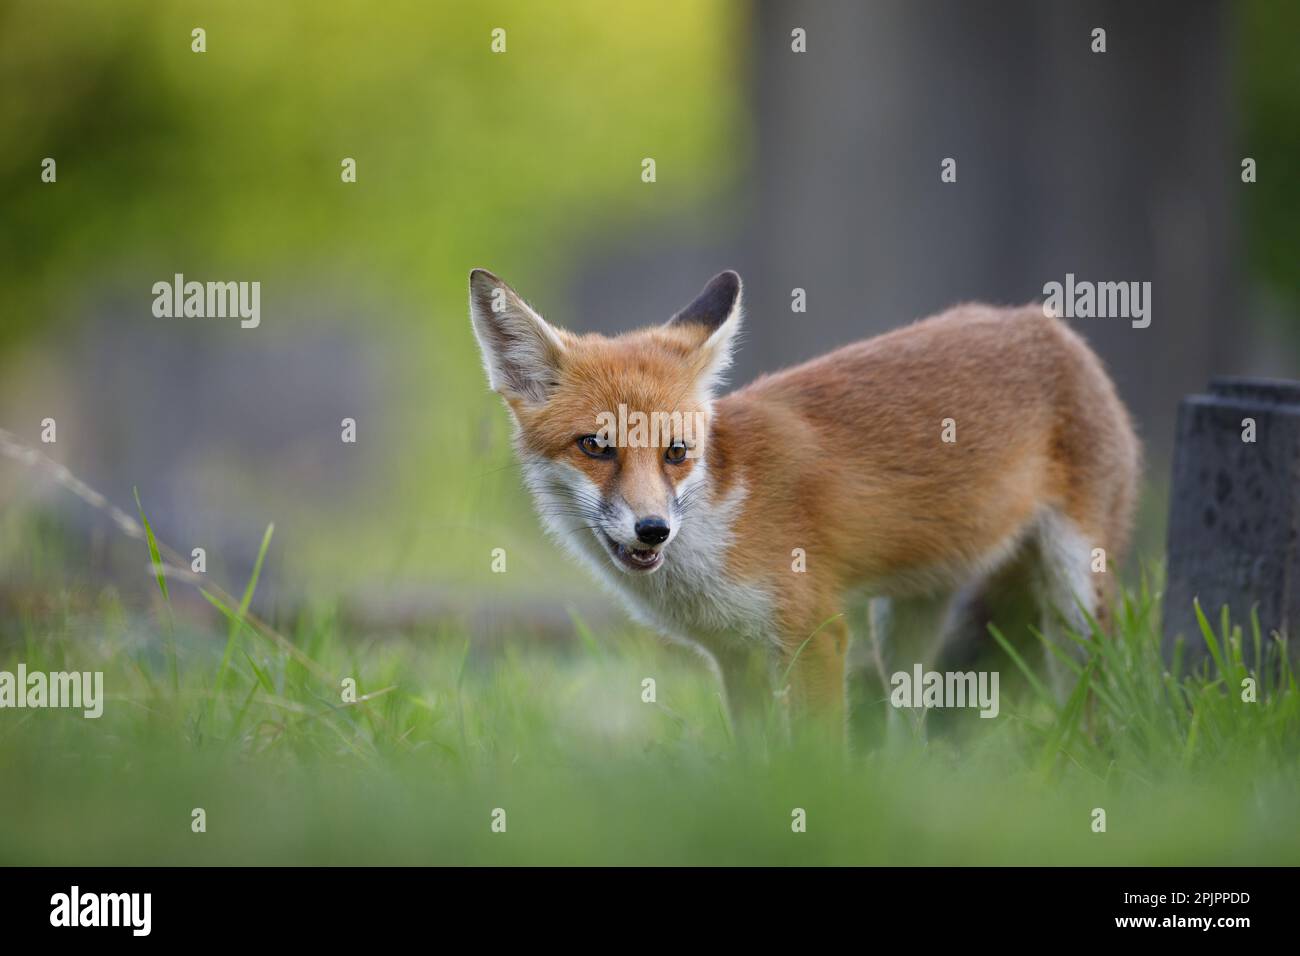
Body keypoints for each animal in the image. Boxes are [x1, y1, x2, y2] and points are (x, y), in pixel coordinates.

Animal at [469, 268, 1141, 743]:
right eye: (595, 446)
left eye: (676, 451)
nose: (653, 529)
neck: (720, 523)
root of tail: (1045, 322)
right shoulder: (735, 656)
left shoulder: (815, 635)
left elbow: (817, 758)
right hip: (906, 620)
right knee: (911, 730)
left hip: (1075, 596)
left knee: (1090, 701)